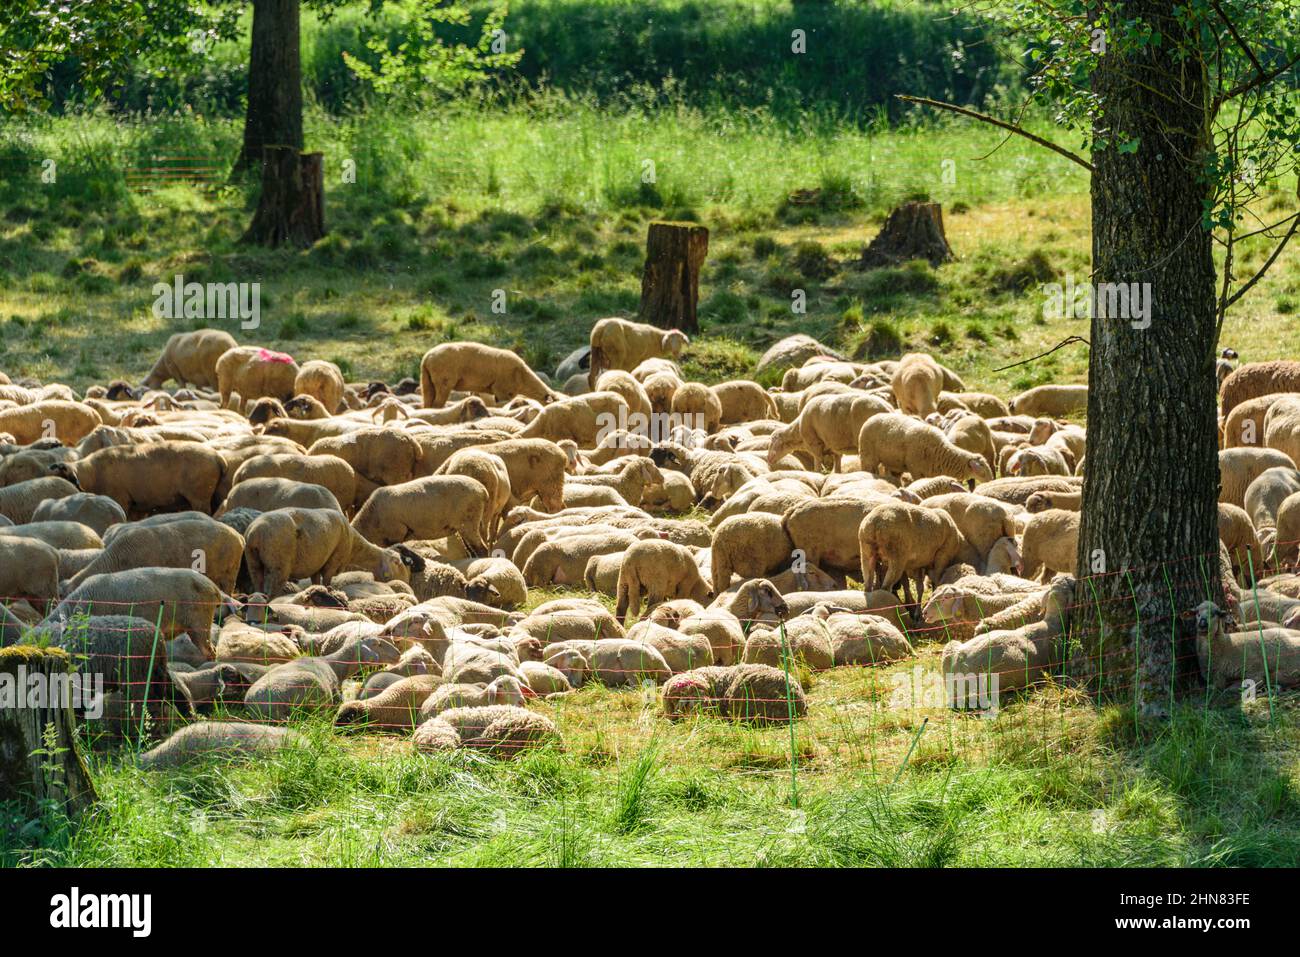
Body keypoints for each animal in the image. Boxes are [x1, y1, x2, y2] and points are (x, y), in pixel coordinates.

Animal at [857, 413, 994, 488]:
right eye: (982, 471)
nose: (991, 481)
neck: (941, 453)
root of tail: (872, 417)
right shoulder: (916, 469)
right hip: (868, 455)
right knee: (868, 469)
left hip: (893, 463)